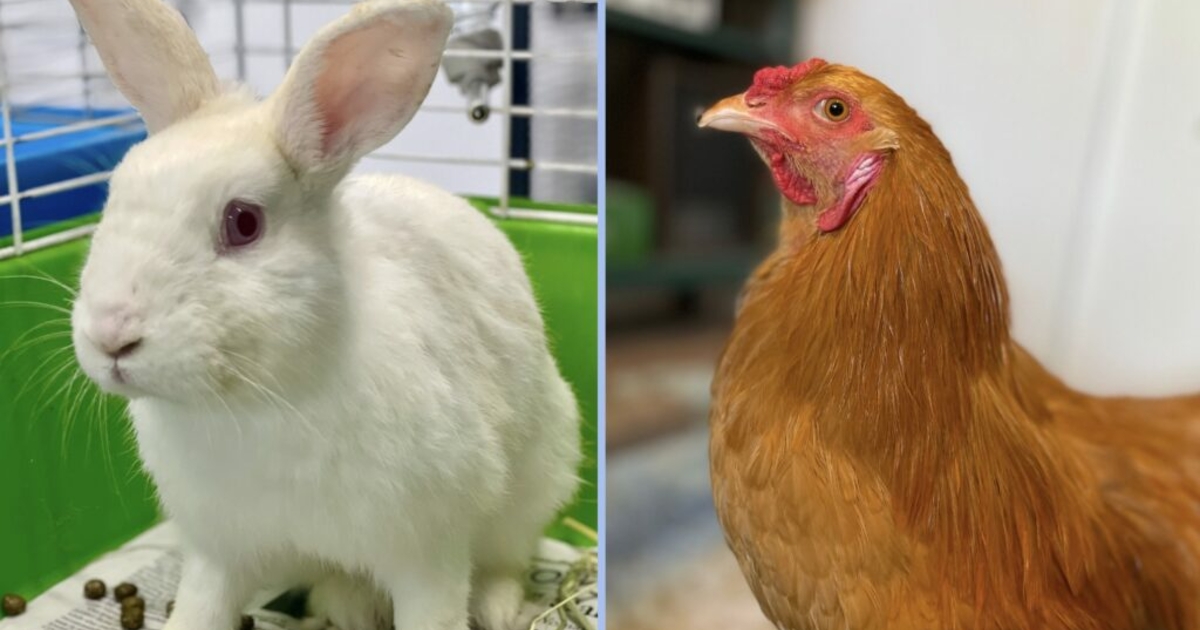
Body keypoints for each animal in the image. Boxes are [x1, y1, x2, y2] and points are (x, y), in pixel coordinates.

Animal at [65, 1, 583, 630]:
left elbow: (434, 610)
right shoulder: (220, 551)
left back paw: (499, 606)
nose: (111, 336)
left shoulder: (426, 550)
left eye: (243, 222)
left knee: (506, 558)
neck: (262, 398)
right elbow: (200, 607)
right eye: (112, 196)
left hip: (534, 485)